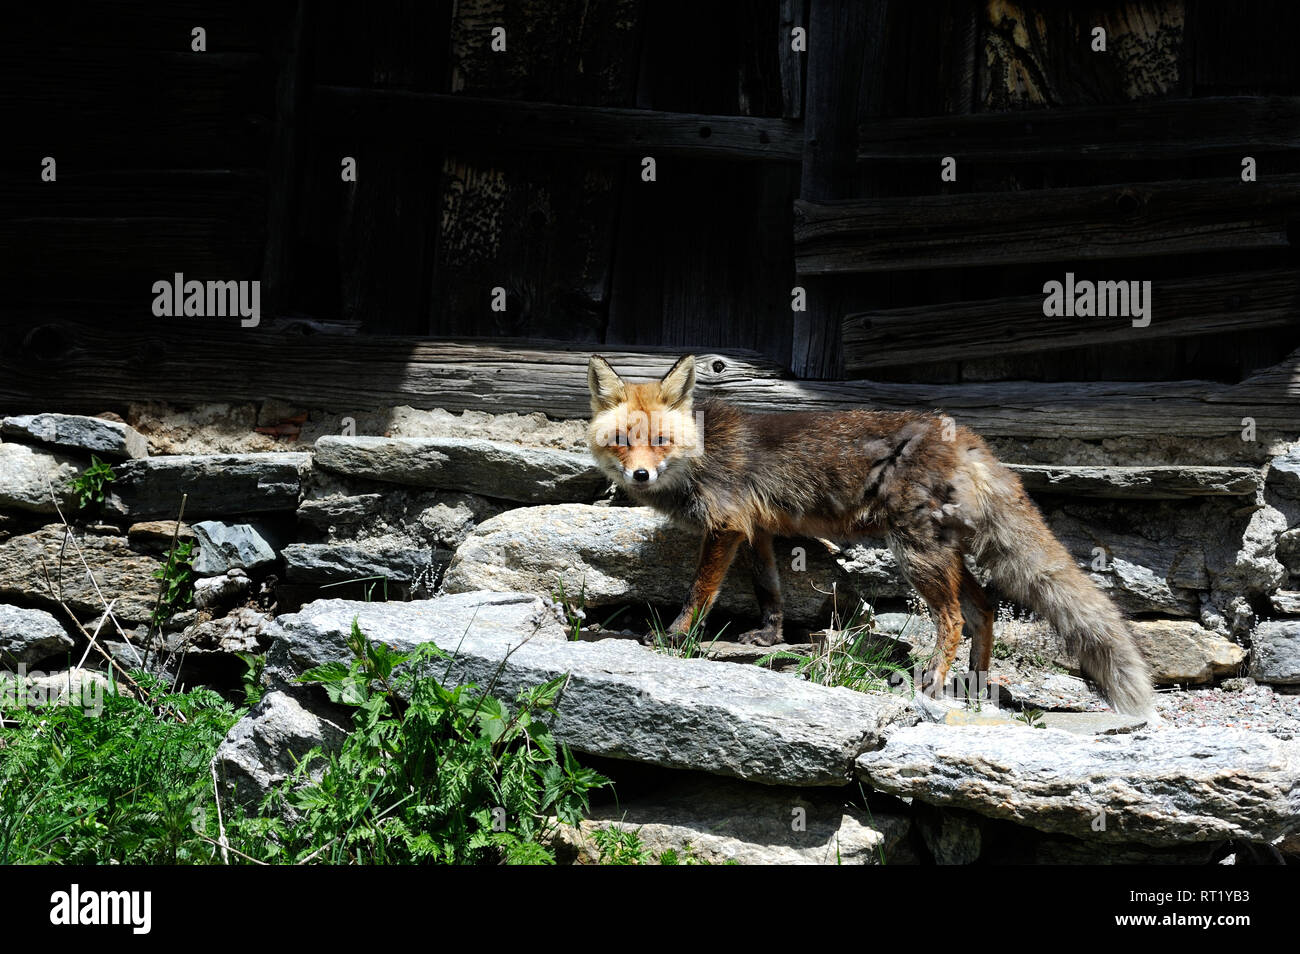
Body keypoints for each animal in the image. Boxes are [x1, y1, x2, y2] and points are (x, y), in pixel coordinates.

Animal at [586, 353, 1154, 716]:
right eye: (623, 442)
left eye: (660, 441)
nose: (641, 476)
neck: (701, 454)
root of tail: (964, 436)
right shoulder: (757, 530)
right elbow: (770, 590)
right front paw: (769, 637)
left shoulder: (725, 526)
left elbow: (699, 593)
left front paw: (674, 638)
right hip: (941, 553)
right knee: (983, 608)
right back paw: (974, 685)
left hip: (916, 554)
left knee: (952, 618)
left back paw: (933, 682)